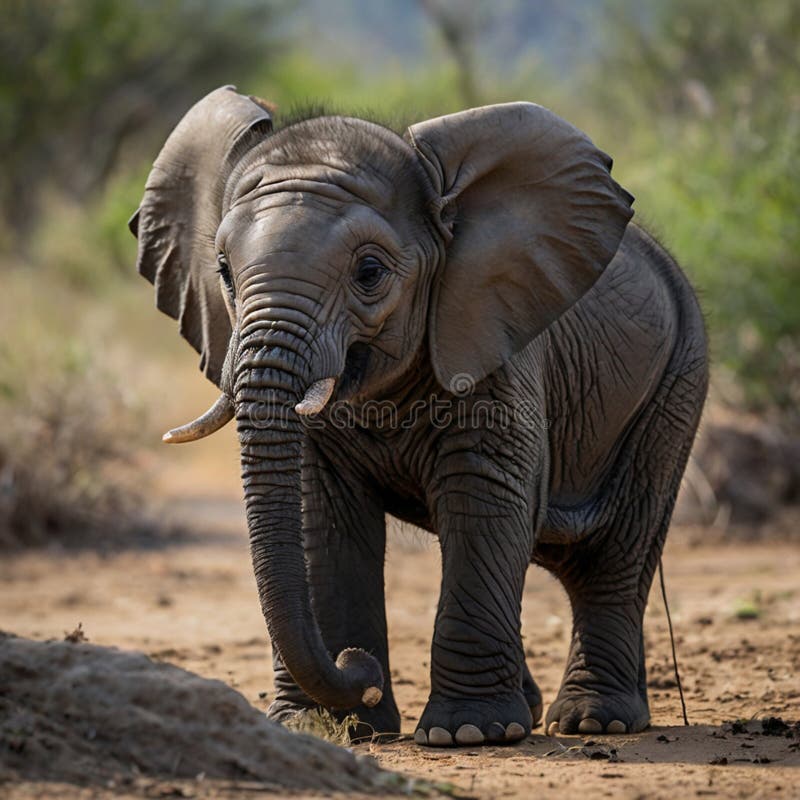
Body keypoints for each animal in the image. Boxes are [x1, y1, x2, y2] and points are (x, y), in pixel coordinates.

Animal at [131, 86, 708, 747]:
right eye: (223, 272)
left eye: (370, 273)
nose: (360, 668)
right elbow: (317, 512)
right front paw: (323, 726)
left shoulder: (490, 337)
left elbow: (484, 496)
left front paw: (470, 734)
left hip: (676, 381)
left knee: (613, 552)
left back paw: (594, 719)